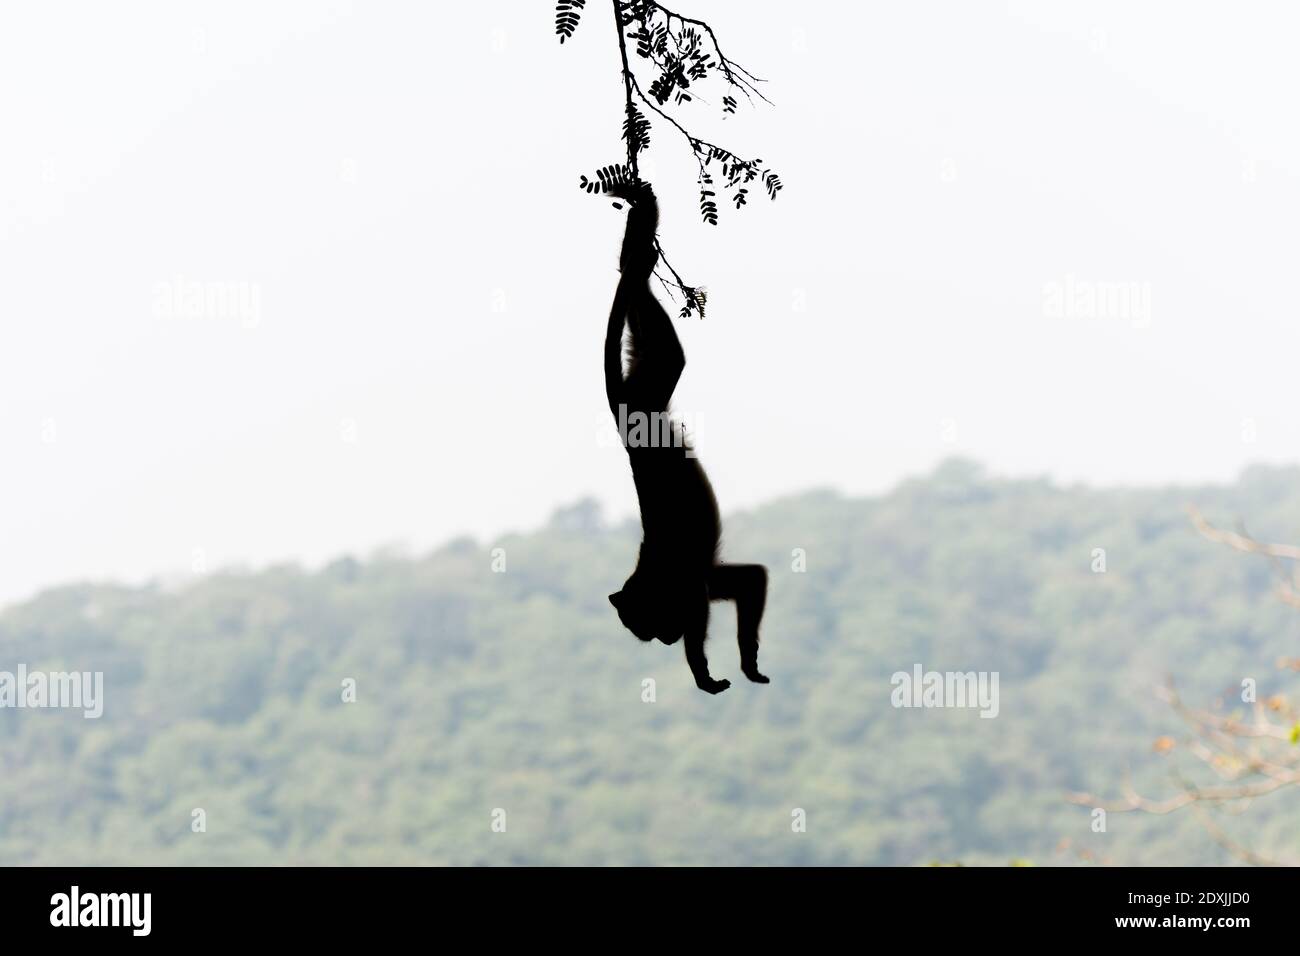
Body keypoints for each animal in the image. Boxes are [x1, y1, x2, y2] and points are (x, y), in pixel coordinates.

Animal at [602, 179, 769, 694]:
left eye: (650, 624)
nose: (665, 639)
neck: (652, 576)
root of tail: (627, 428)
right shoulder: (702, 577)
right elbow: (751, 580)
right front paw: (748, 660)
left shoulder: (683, 582)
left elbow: (701, 605)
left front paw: (700, 669)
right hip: (645, 391)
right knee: (655, 345)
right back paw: (635, 255)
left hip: (645, 397)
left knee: (671, 355)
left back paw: (636, 256)